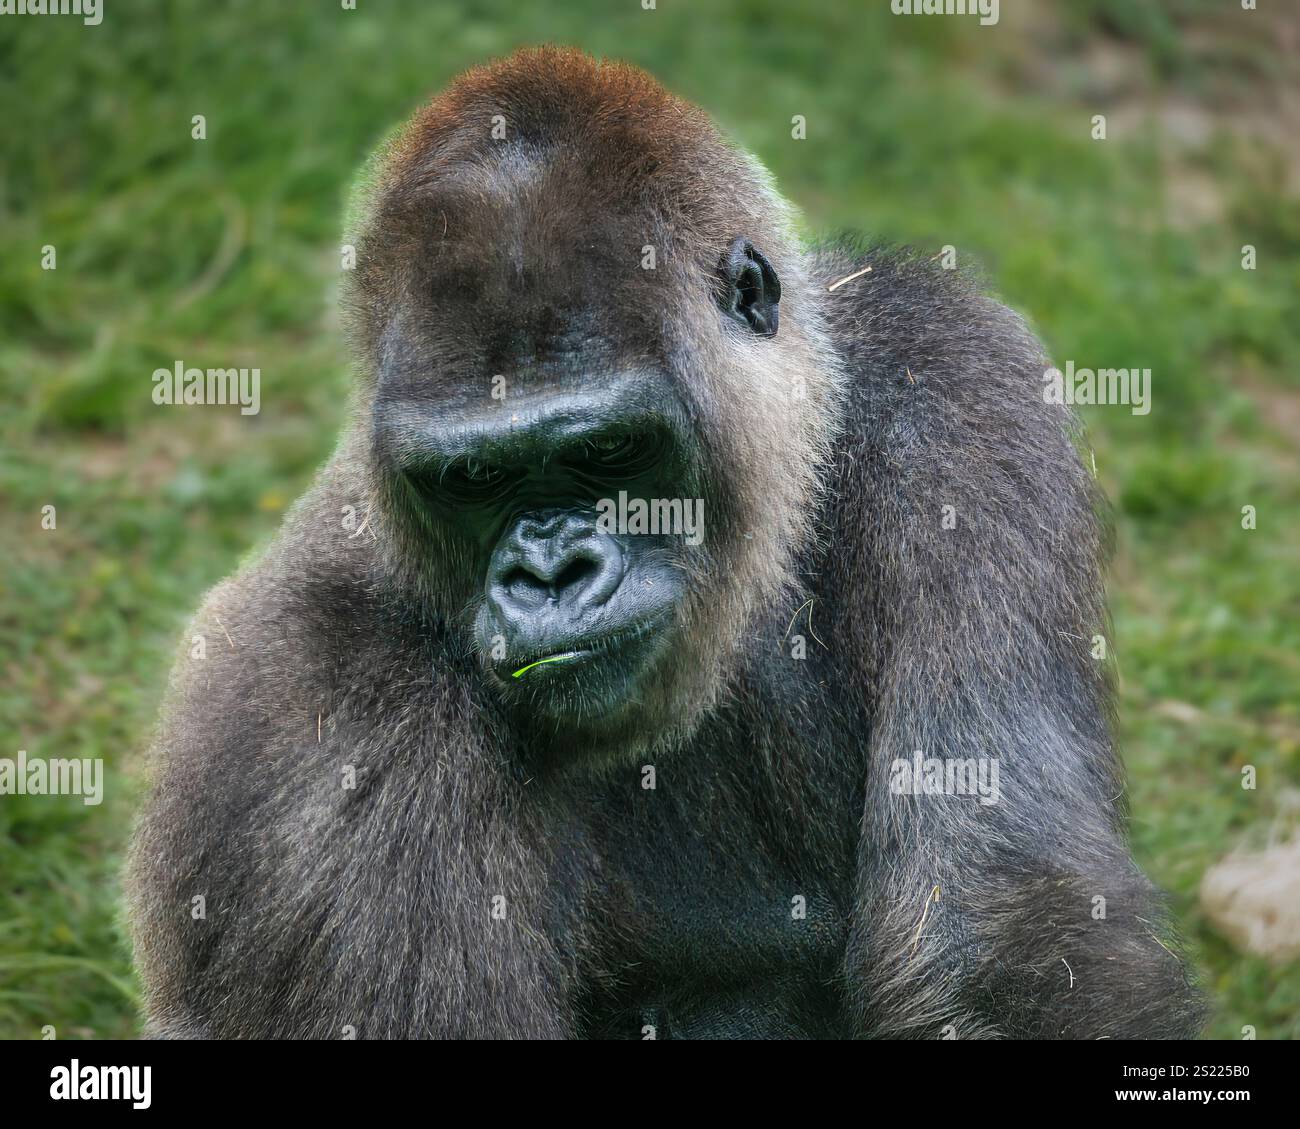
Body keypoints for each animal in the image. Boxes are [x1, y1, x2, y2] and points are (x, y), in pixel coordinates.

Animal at [126, 47, 1205, 1039]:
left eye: (606, 449)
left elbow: (999, 923)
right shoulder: (308, 714)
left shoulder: (951, 375)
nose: (550, 573)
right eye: (471, 478)